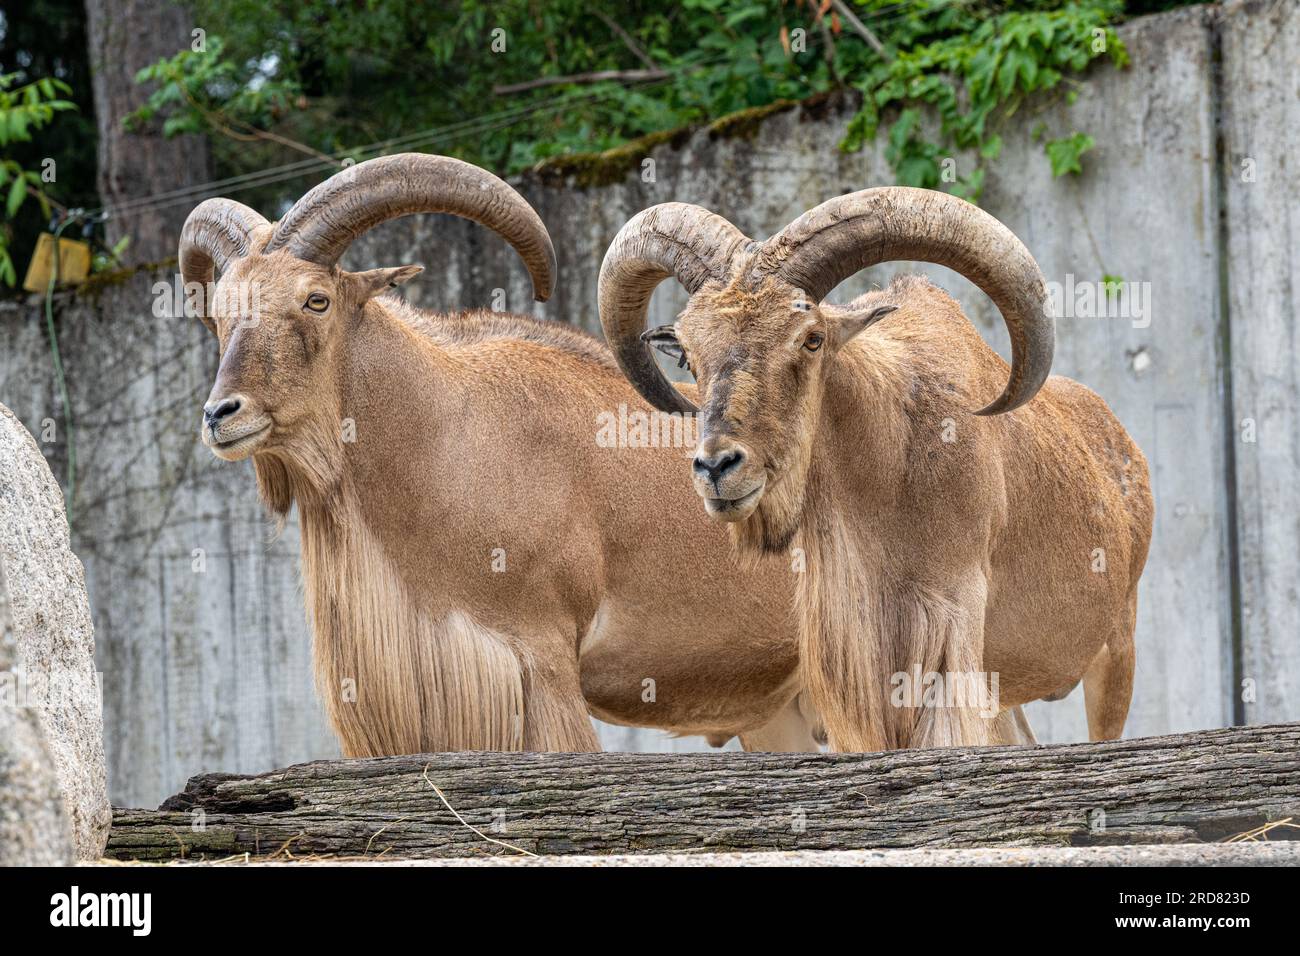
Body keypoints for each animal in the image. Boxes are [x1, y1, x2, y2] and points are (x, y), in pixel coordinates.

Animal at [598, 188, 1153, 752]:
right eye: (688, 356)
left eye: (812, 338)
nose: (717, 466)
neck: (889, 472)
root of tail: (1123, 445)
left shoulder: (952, 629)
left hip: (1117, 649)